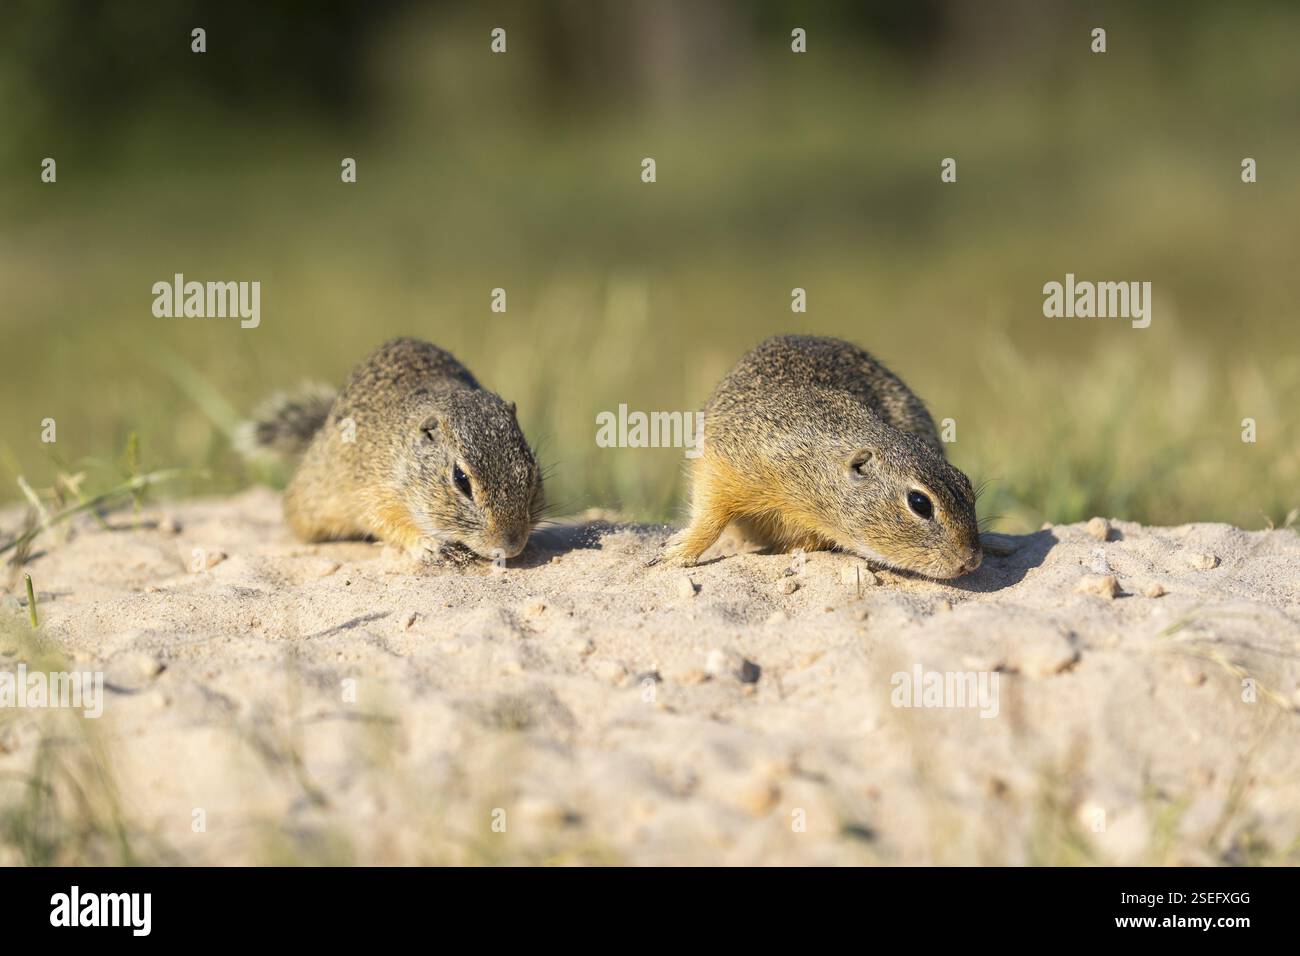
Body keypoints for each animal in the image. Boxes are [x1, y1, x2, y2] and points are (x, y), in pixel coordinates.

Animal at [241, 337, 544, 561]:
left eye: (531, 472)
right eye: (461, 480)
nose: (511, 546)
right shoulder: (372, 490)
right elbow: (384, 522)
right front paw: (428, 545)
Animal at [661, 334, 982, 578]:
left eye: (966, 484)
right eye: (919, 503)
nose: (972, 560)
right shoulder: (725, 461)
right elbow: (709, 515)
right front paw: (676, 552)